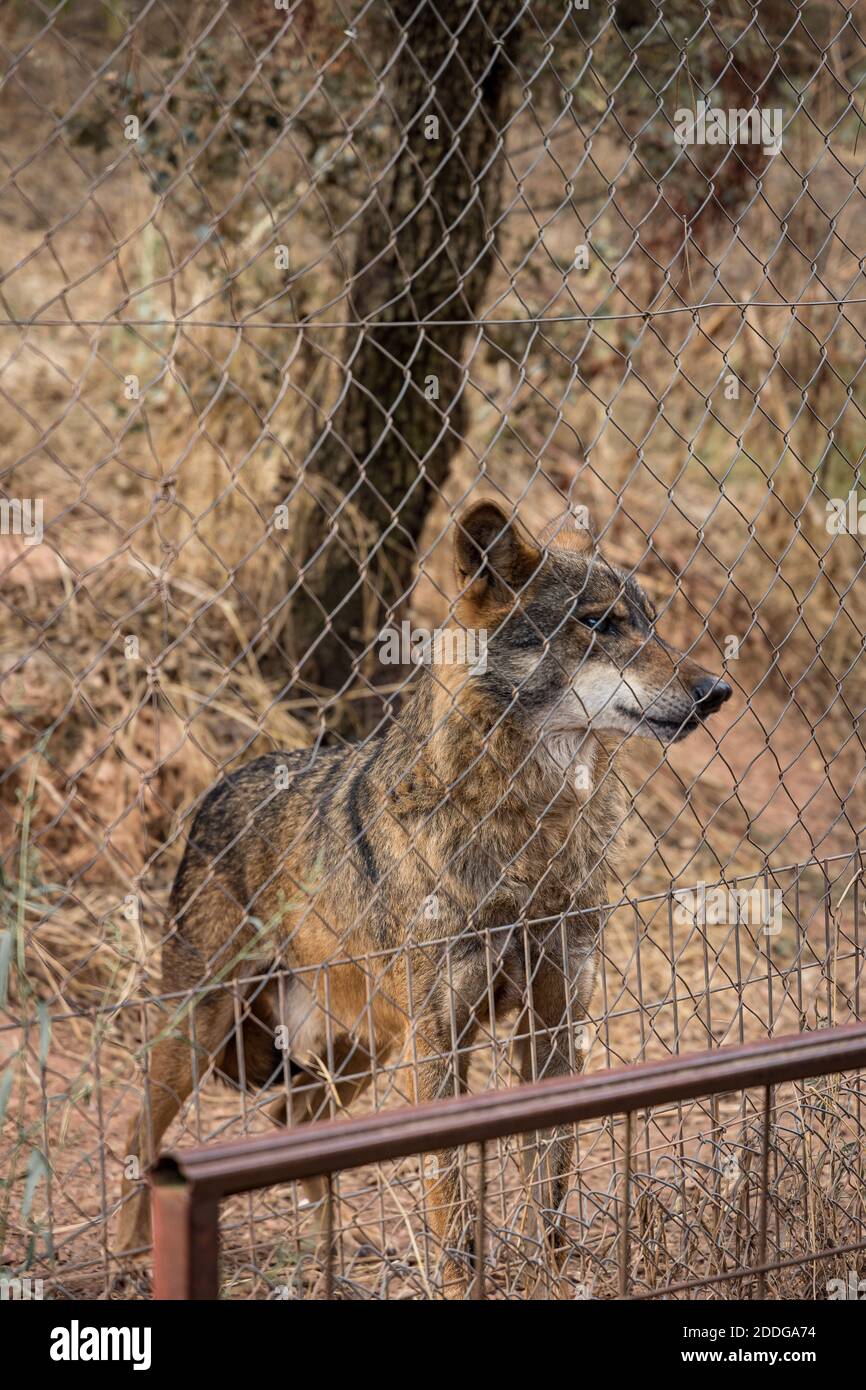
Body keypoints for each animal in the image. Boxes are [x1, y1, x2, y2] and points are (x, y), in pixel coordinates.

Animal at [117, 499, 731, 1295]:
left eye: (652, 624)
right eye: (599, 623)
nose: (716, 692)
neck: (528, 831)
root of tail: (224, 782)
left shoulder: (553, 1020)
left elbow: (551, 1185)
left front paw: (553, 1278)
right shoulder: (440, 1038)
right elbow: (451, 1195)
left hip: (361, 1051)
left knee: (294, 1124)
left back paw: (329, 1261)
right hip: (202, 1030)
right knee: (141, 1132)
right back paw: (130, 1257)